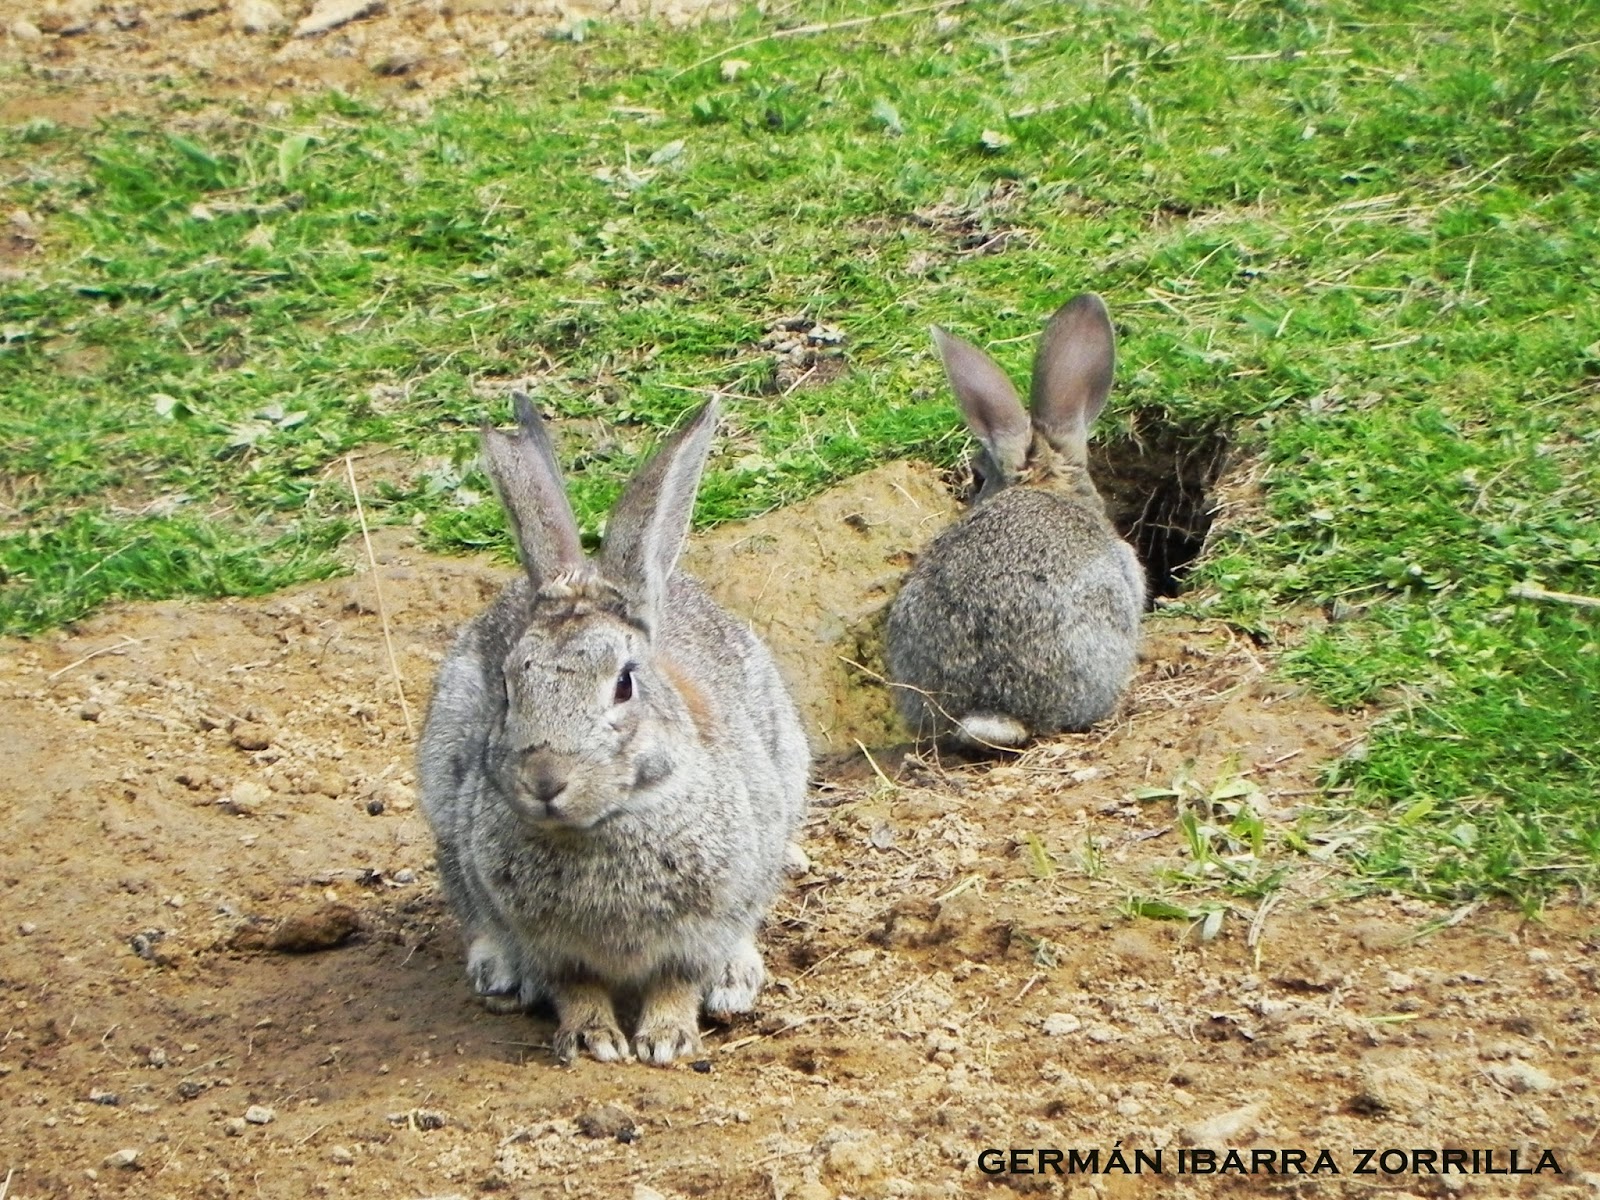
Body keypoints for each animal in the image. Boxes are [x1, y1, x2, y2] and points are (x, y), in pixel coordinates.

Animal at [417, 393, 810, 1066]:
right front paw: (592, 1039)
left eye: (625, 683)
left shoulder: (702, 924)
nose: (545, 779)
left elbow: (679, 979)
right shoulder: (550, 945)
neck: (604, 824)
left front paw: (665, 1040)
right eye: (507, 687)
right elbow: (575, 987)